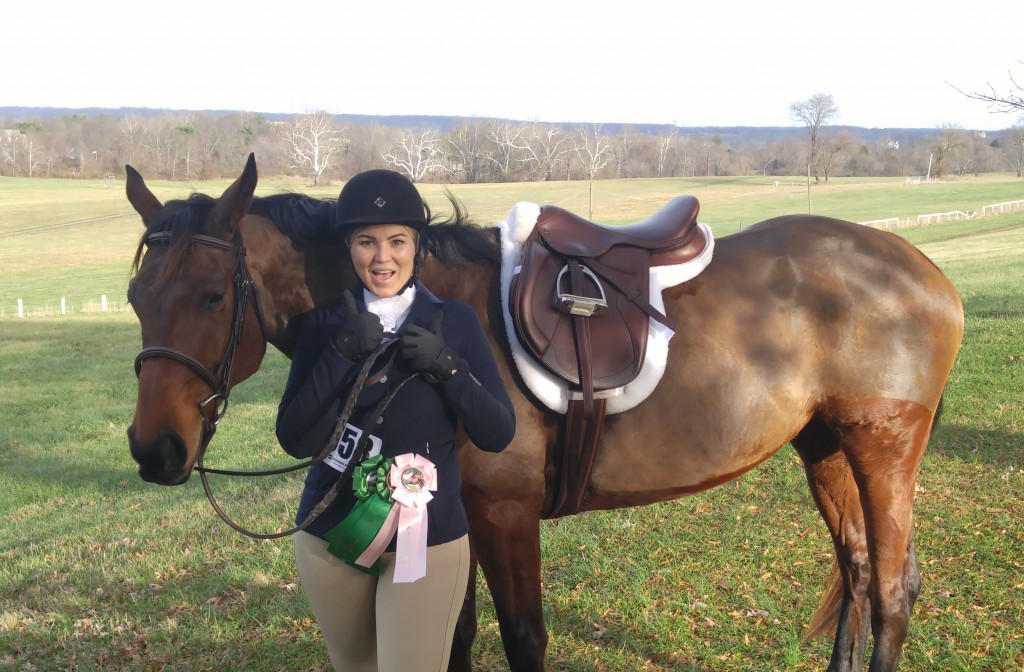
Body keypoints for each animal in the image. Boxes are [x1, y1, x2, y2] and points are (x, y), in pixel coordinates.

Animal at [125, 155, 964, 672]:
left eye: (212, 295)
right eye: (136, 296)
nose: (154, 449)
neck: (425, 317)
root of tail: (923, 270)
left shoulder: (504, 513)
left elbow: (524, 639)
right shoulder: (451, 511)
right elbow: (453, 635)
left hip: (884, 452)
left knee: (892, 590)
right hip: (825, 446)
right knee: (857, 568)